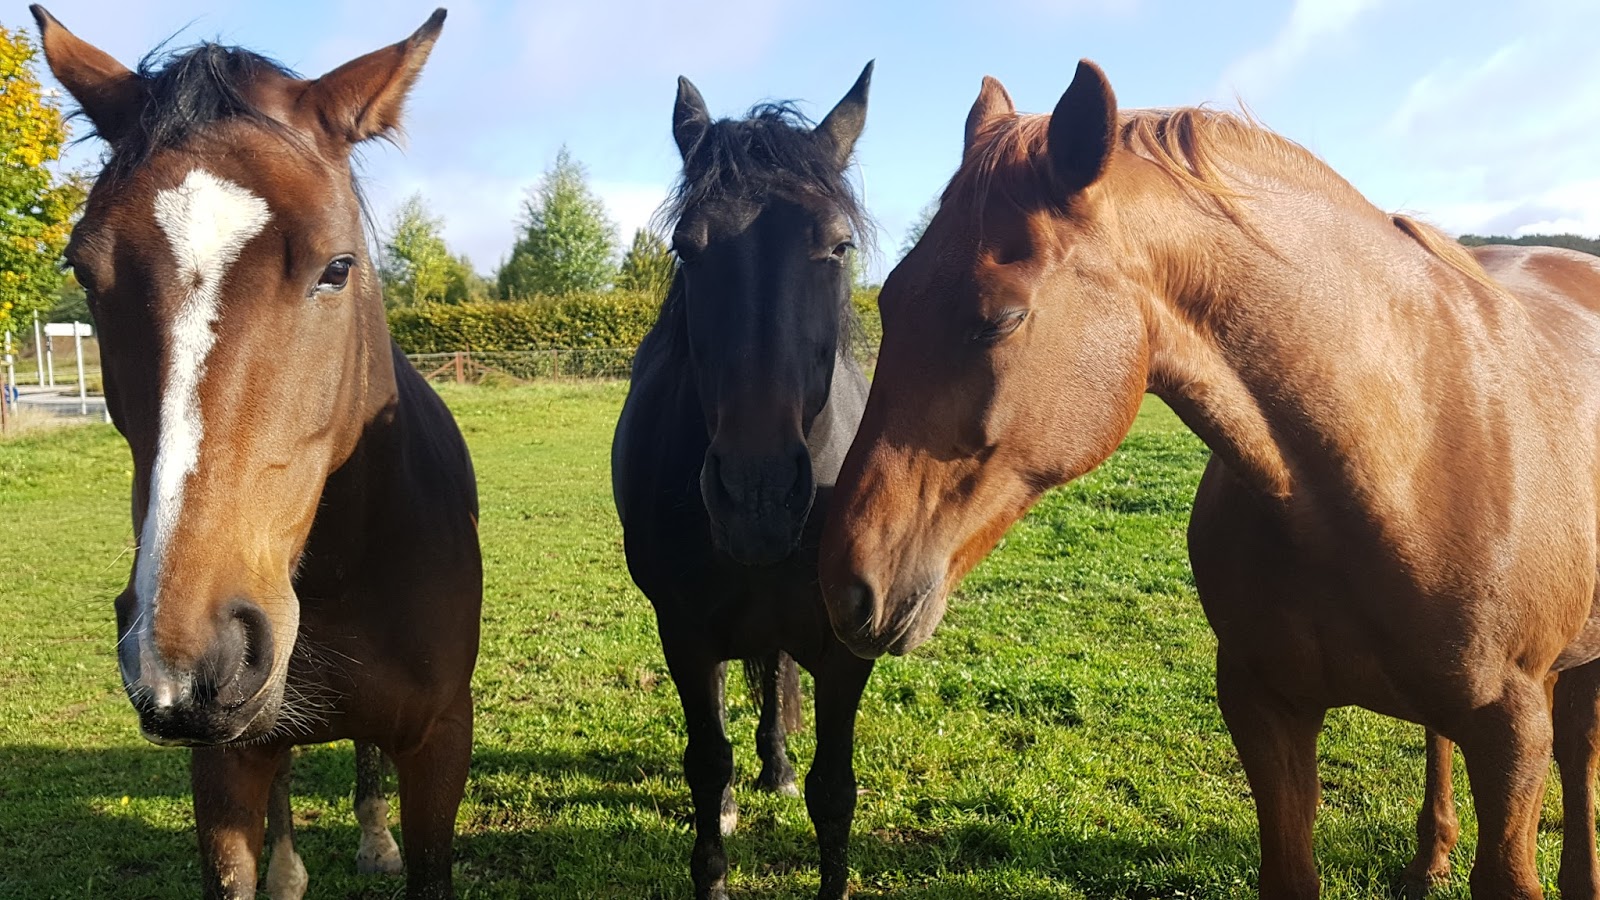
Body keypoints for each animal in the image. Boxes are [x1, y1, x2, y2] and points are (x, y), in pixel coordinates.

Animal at [610, 65, 875, 900]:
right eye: (685, 247)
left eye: (837, 245)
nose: (757, 494)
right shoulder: (685, 633)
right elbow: (705, 759)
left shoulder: (847, 646)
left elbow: (835, 790)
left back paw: (777, 767)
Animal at [818, 59, 1600, 898]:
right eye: (893, 297)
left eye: (999, 319)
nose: (846, 588)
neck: (1404, 452)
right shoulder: (1263, 707)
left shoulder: (1512, 730)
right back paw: (1429, 858)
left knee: (1580, 750)